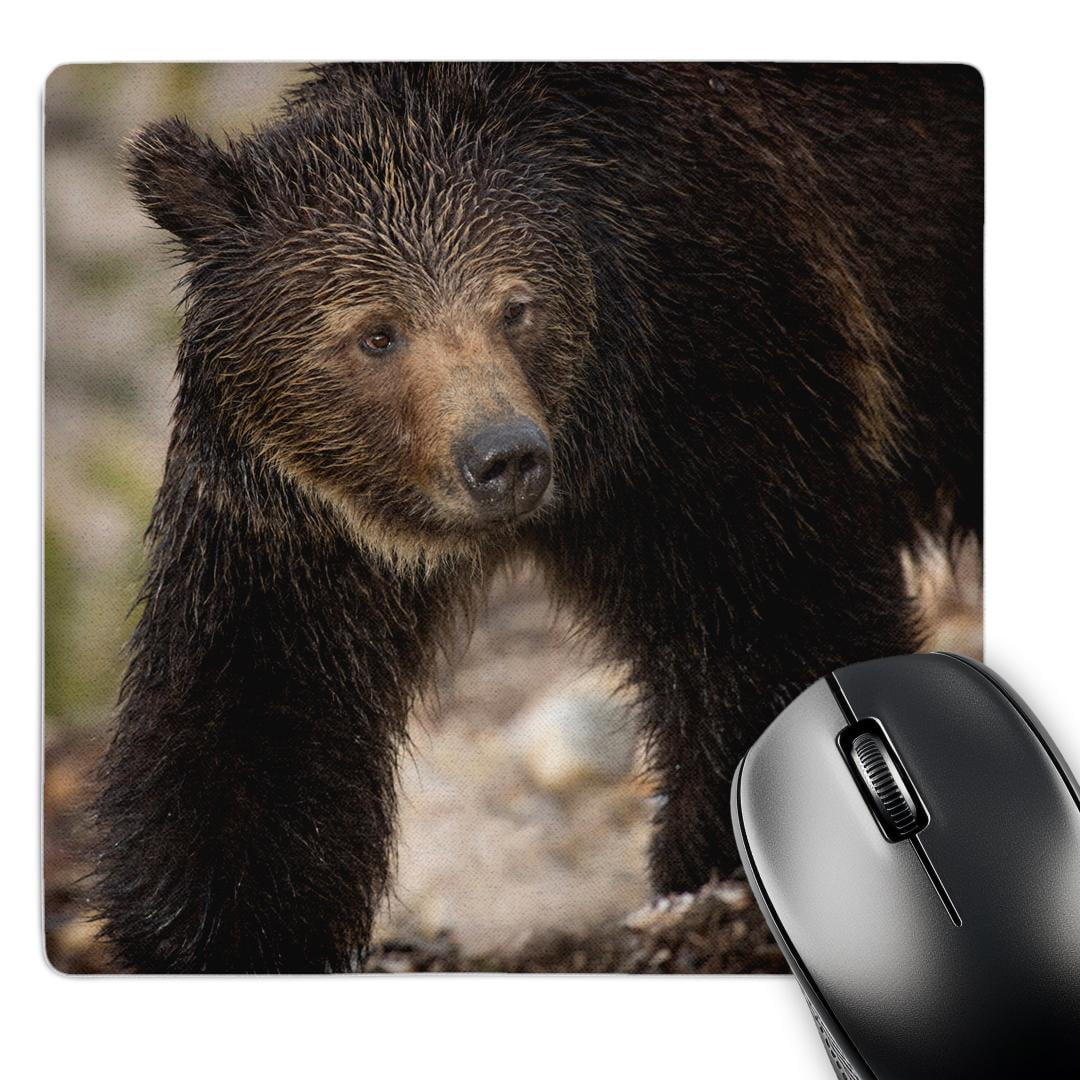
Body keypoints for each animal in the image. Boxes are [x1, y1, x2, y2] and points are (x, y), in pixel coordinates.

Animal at [93, 62, 983, 973]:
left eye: (515, 305)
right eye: (377, 333)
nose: (504, 455)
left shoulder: (713, 378)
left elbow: (772, 614)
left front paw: (707, 871)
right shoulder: (302, 517)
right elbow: (249, 715)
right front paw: (222, 932)